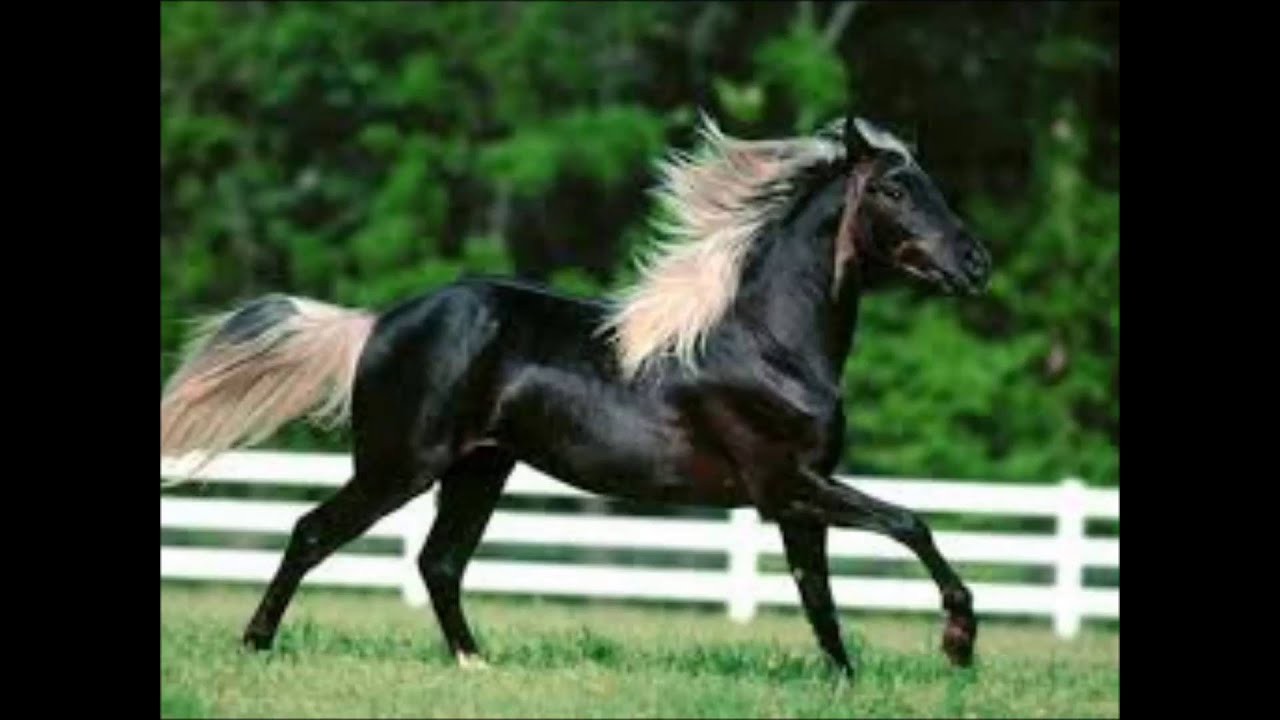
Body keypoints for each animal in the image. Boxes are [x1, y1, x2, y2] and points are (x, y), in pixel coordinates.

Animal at [160, 113, 992, 679]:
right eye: (894, 187)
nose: (976, 264)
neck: (770, 344)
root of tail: (379, 323)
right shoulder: (787, 485)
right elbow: (910, 524)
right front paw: (958, 642)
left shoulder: (797, 497)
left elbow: (817, 593)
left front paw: (846, 680)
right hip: (401, 466)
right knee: (313, 533)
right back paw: (256, 645)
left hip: (479, 469)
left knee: (439, 563)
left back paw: (475, 665)